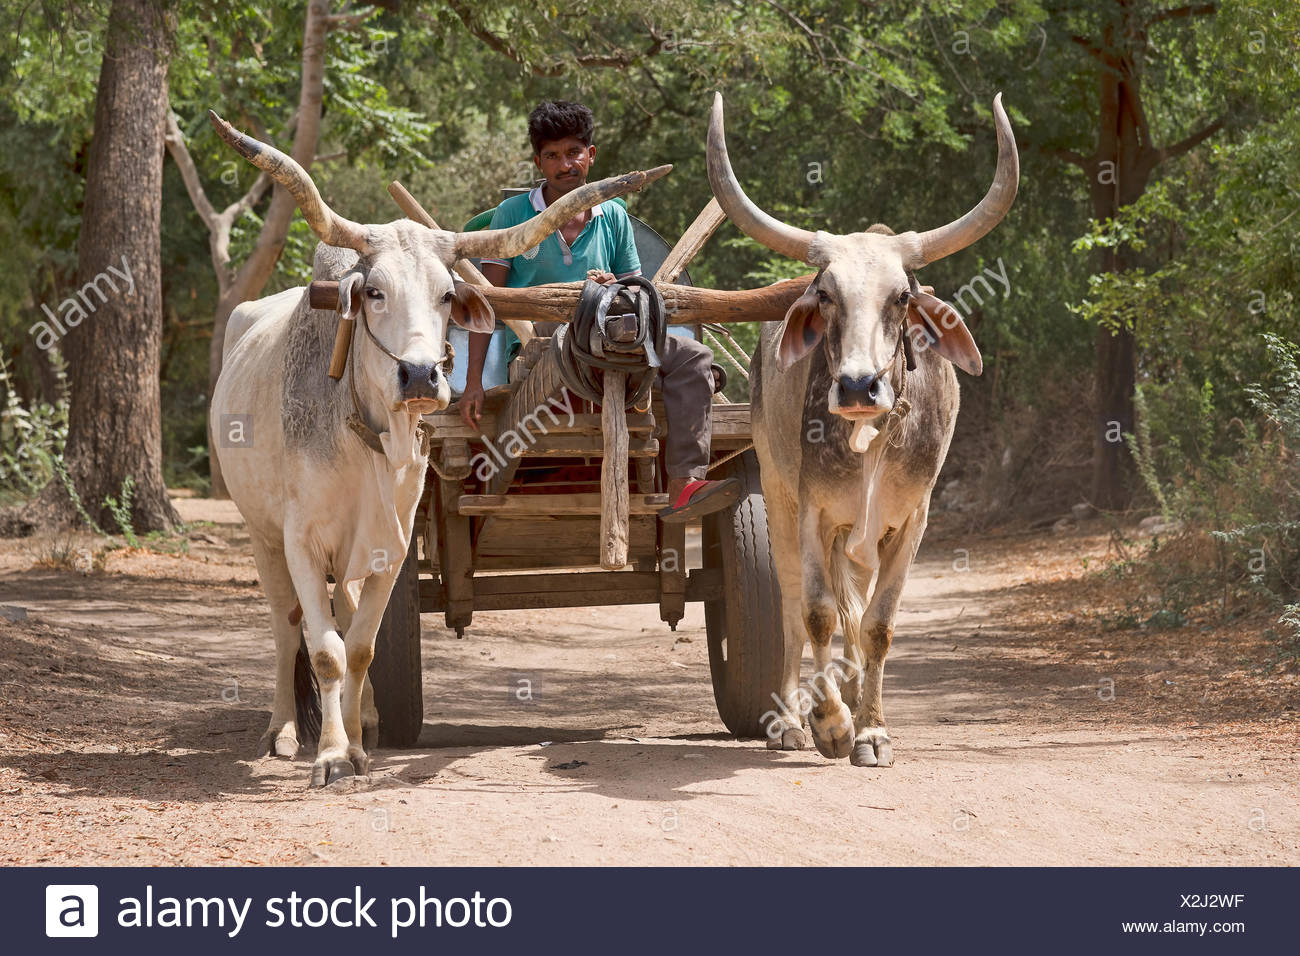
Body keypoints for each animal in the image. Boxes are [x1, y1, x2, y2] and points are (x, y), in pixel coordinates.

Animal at [208, 111, 667, 786]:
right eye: (373, 292)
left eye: (446, 295)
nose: (422, 374)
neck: (369, 439)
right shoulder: (300, 538)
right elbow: (324, 651)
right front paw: (328, 755)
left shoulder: (391, 542)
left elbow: (361, 645)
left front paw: (355, 746)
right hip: (261, 533)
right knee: (288, 627)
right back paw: (283, 731)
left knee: (344, 616)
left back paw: (365, 720)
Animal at [706, 92, 1018, 767]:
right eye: (825, 294)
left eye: (902, 296)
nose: (855, 387)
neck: (869, 439)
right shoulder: (811, 511)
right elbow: (818, 612)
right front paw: (830, 724)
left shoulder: (912, 520)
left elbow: (877, 623)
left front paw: (872, 730)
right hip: (775, 493)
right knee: (792, 605)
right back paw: (794, 718)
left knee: (857, 604)